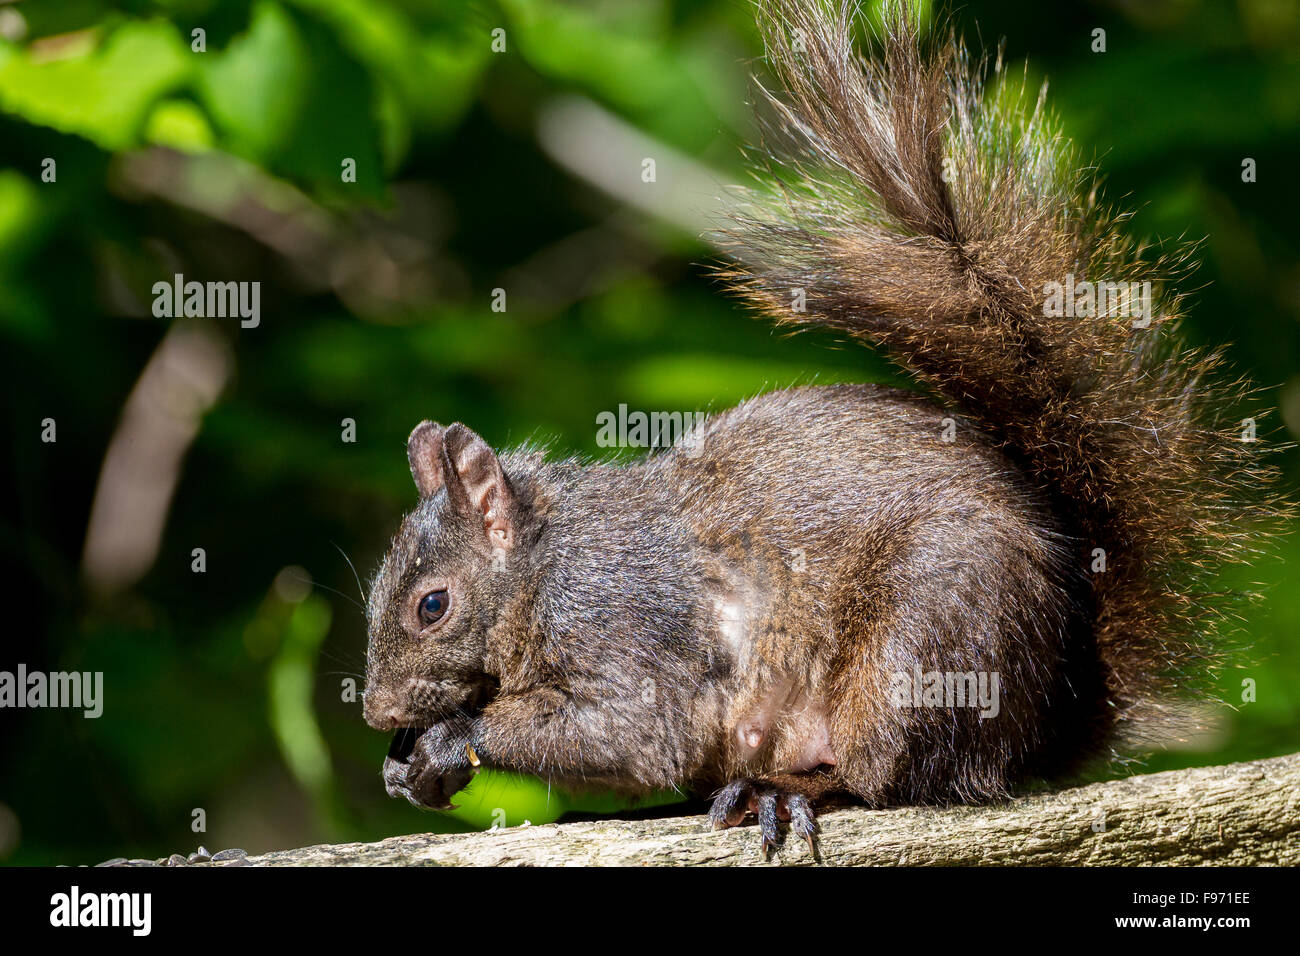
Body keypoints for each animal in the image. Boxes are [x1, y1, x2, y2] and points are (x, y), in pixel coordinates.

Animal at [362, 0, 1287, 856]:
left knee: (894, 777)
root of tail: (1042, 725)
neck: (543, 567)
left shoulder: (627, 627)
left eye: (432, 606)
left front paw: (447, 740)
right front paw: (409, 765)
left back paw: (788, 793)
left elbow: (632, 732)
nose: (374, 710)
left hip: (923, 643)